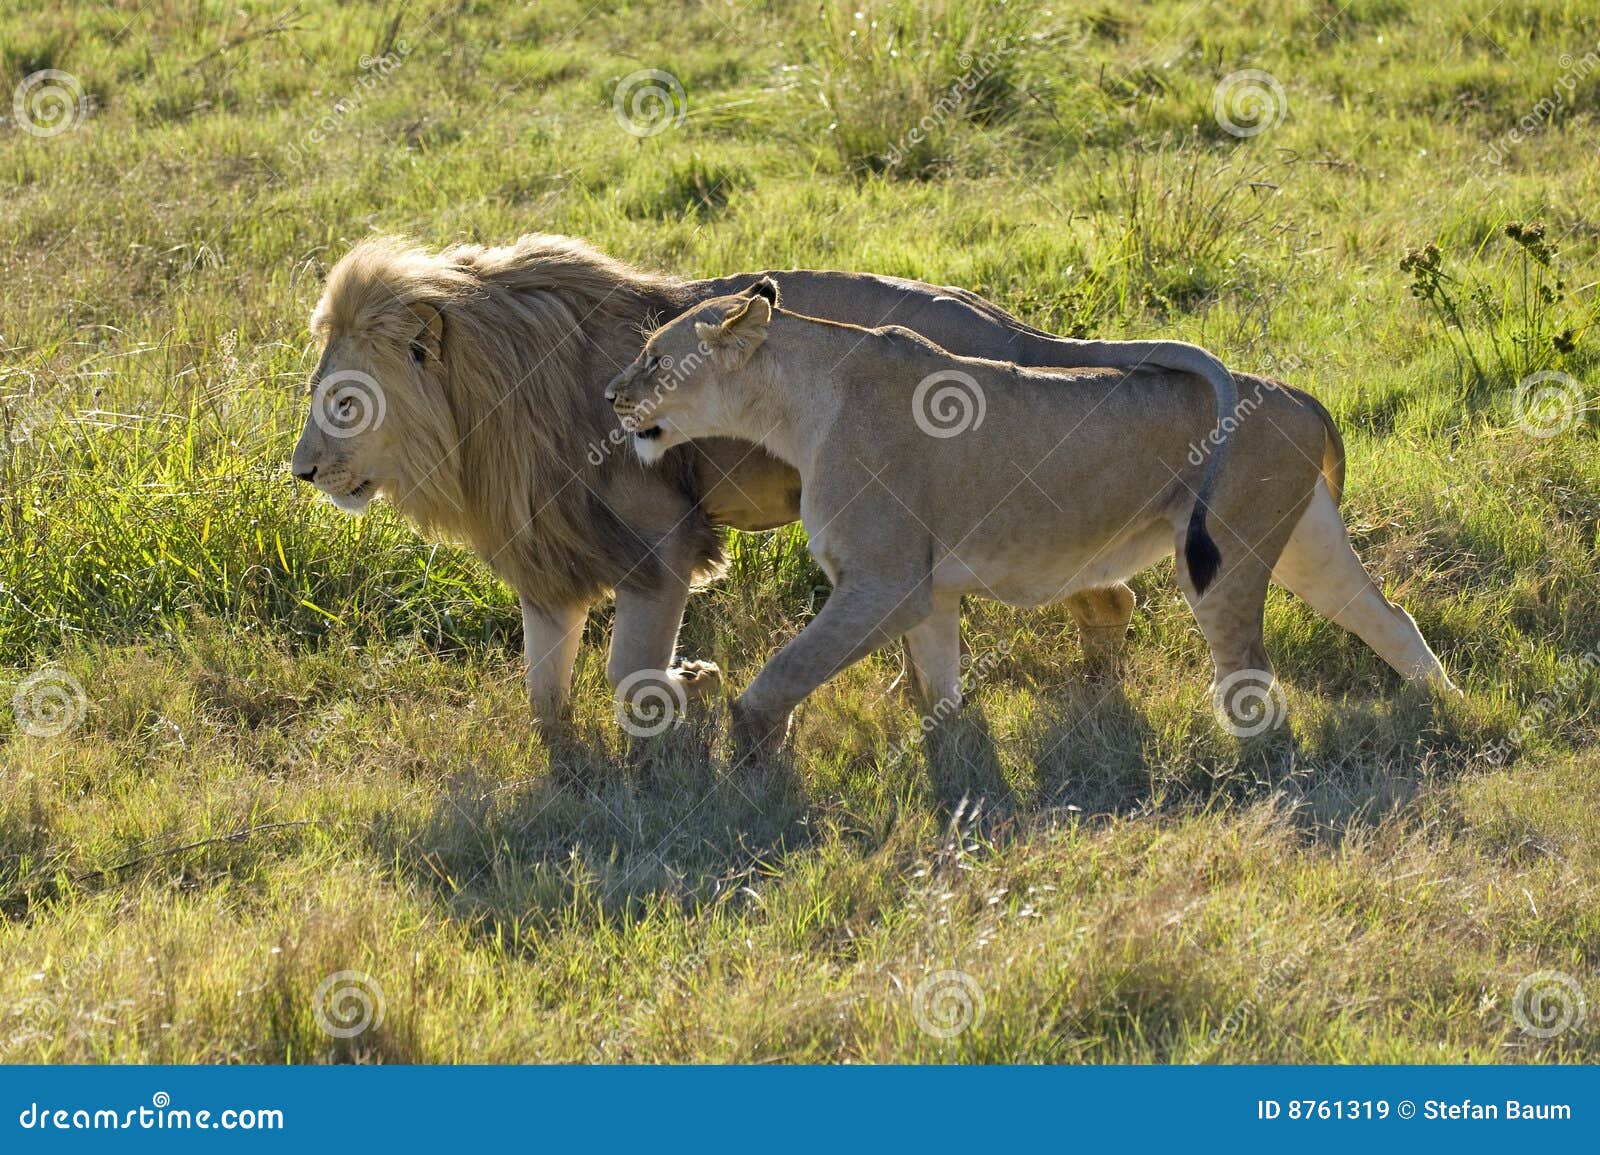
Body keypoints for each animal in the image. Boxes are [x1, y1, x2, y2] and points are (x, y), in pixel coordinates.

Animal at [290, 234, 1245, 724]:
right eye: (317, 393)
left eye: (344, 401)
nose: (301, 471)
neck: (478, 420)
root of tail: (1000, 323)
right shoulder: (549, 558)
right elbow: (542, 692)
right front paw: (572, 762)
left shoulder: (661, 540)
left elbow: (627, 670)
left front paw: (689, 689)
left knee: (1091, 582)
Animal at [606, 279, 1454, 755]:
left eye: (655, 359)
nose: (612, 396)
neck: (796, 400)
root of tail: (1292, 391)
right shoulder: (927, 589)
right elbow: (938, 687)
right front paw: (951, 764)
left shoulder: (882, 580)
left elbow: (785, 670)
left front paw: (753, 755)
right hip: (1307, 539)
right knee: (1390, 618)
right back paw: (1445, 705)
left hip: (1222, 557)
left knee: (1252, 677)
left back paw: (1245, 771)